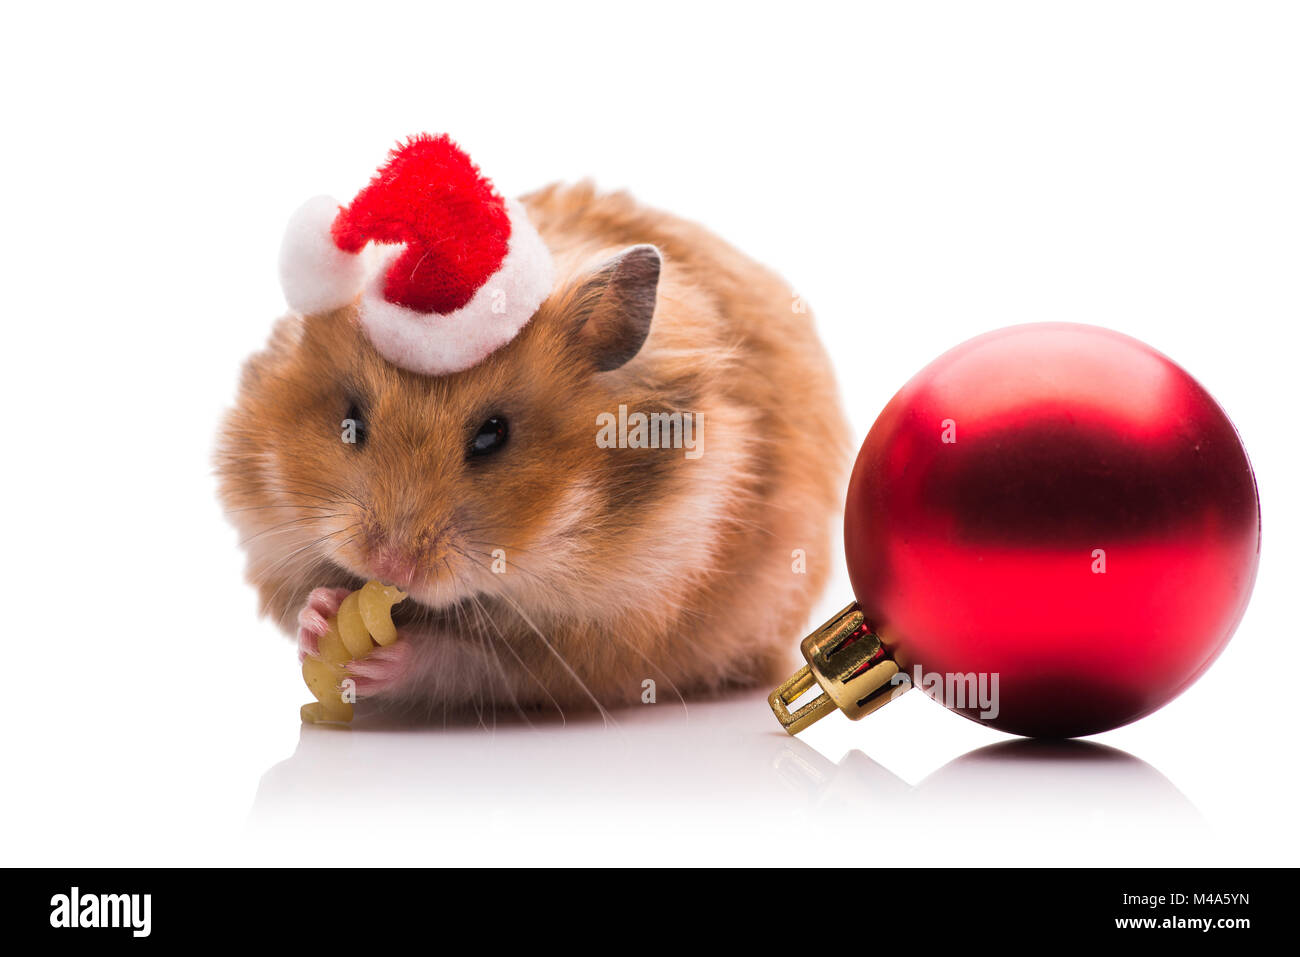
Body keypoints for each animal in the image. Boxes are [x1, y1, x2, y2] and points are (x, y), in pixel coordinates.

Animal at [217, 181, 851, 719]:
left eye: (493, 436)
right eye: (350, 422)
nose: (388, 567)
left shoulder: (610, 629)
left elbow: (473, 661)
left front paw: (383, 658)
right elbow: (297, 600)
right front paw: (320, 616)